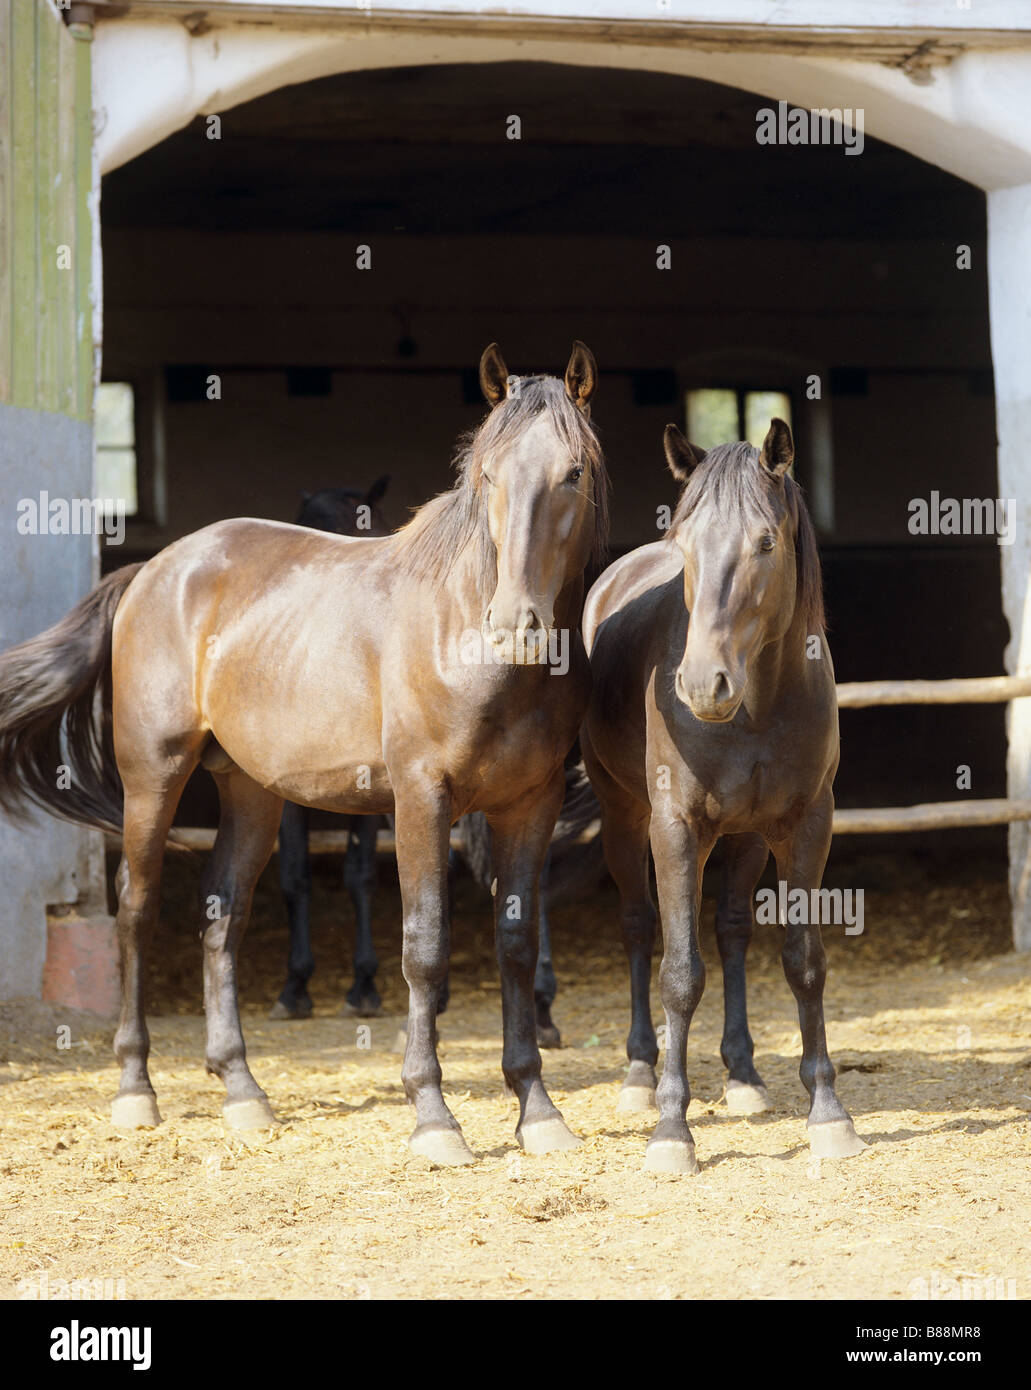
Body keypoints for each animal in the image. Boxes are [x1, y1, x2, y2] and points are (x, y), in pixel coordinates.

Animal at [0, 341, 608, 1167]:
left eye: (573, 472)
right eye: (487, 475)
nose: (516, 623)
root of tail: (154, 571)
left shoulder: (529, 804)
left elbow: (515, 939)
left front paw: (537, 1109)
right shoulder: (420, 798)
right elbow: (424, 947)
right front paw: (433, 1117)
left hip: (252, 792)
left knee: (221, 914)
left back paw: (241, 1091)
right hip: (154, 777)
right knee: (136, 907)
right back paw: (136, 1089)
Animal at [580, 418, 866, 1174]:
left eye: (765, 542)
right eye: (685, 543)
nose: (702, 685)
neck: (757, 707)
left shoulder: (806, 827)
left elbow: (802, 962)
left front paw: (829, 1113)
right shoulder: (675, 829)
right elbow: (680, 974)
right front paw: (671, 1132)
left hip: (742, 839)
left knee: (733, 931)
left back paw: (742, 1075)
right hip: (624, 820)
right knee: (637, 927)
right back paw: (639, 1077)